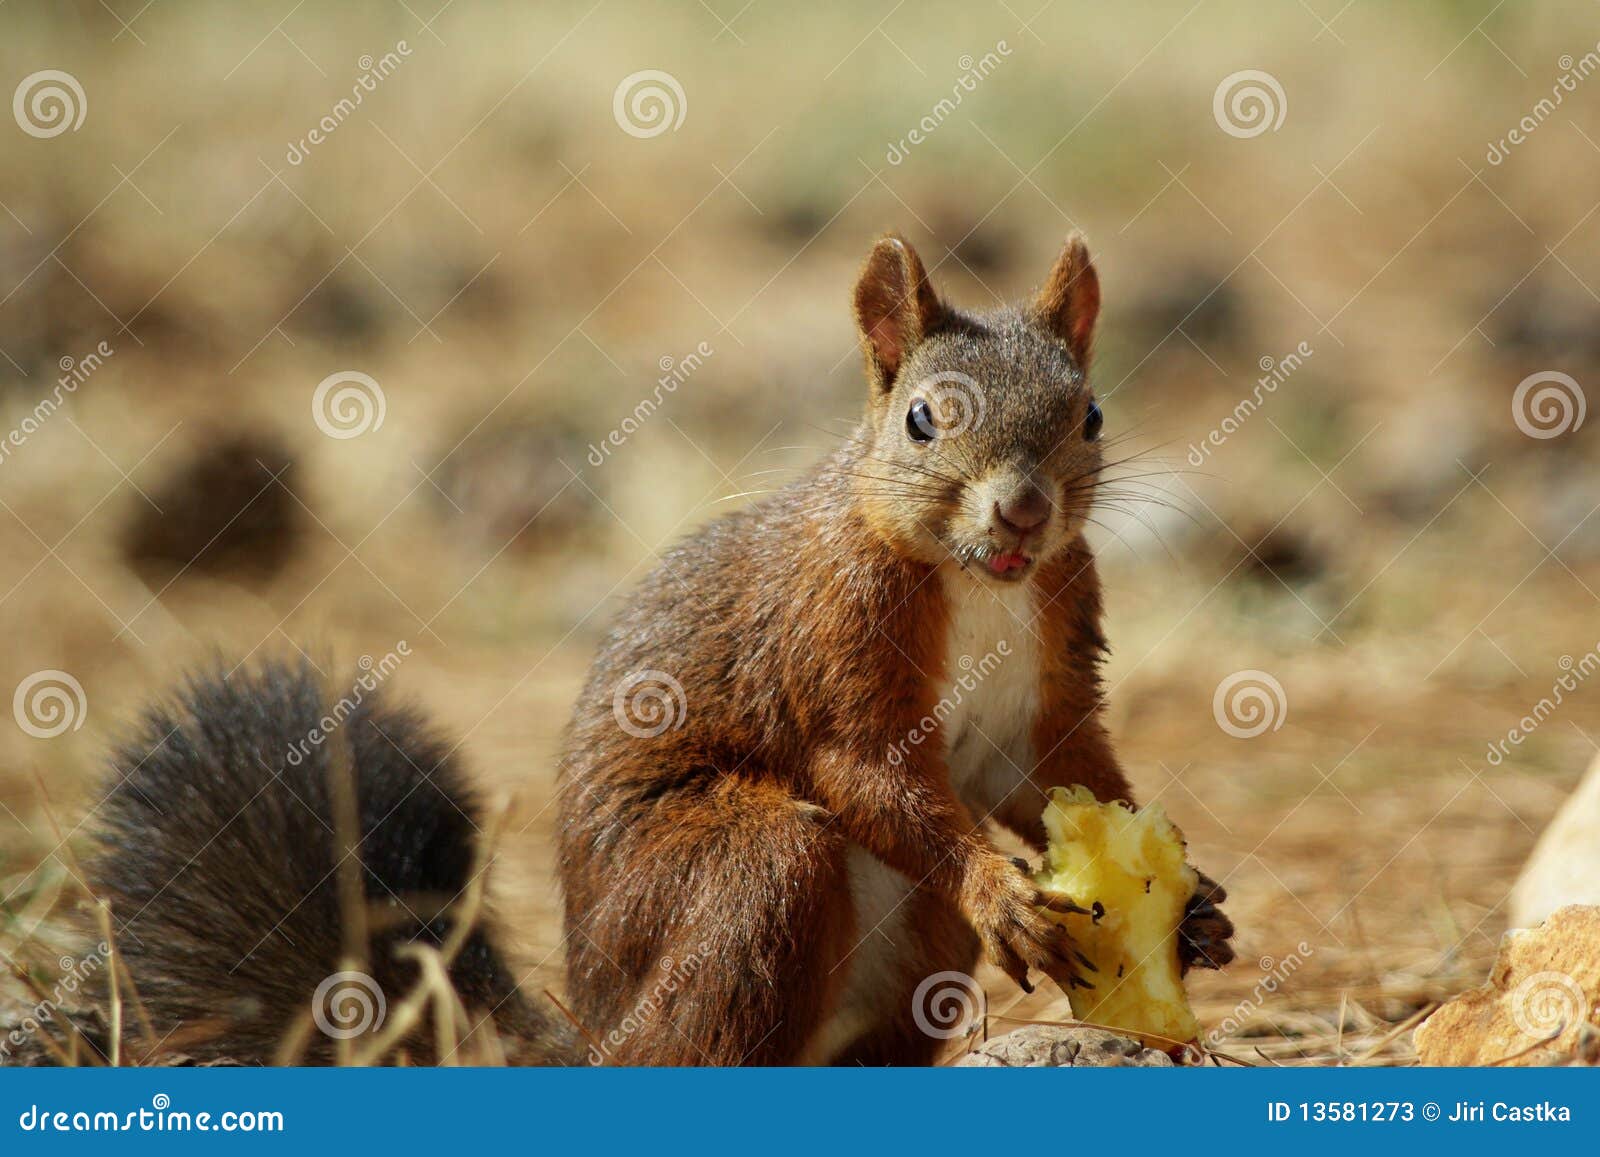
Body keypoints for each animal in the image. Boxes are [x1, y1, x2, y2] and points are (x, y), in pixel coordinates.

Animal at [79, 232, 1232, 1067]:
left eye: (1091, 413)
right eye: (919, 420)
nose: (1024, 510)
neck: (980, 583)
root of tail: (595, 1034)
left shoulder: (1043, 682)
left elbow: (1049, 774)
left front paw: (1193, 908)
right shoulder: (834, 641)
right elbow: (868, 772)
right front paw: (999, 889)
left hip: (916, 957)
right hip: (729, 877)